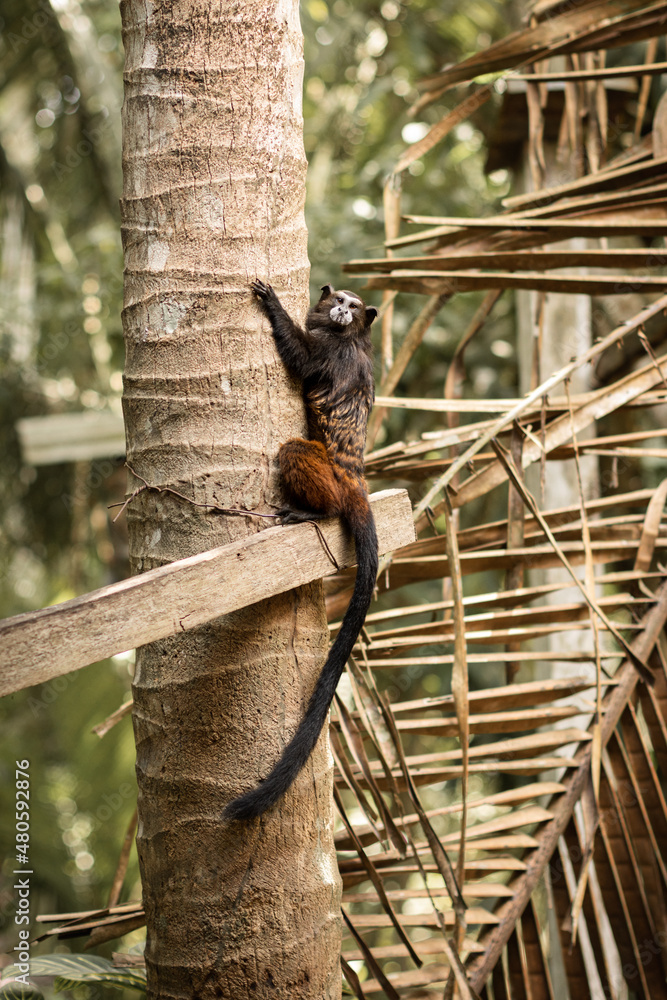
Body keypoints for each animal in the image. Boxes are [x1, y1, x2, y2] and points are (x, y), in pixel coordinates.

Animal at [223, 280, 378, 821]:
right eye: (340, 300)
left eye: (354, 308)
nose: (341, 311)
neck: (348, 337)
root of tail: (354, 480)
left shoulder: (335, 354)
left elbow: (305, 361)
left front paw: (272, 304)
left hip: (326, 475)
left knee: (295, 451)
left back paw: (311, 511)